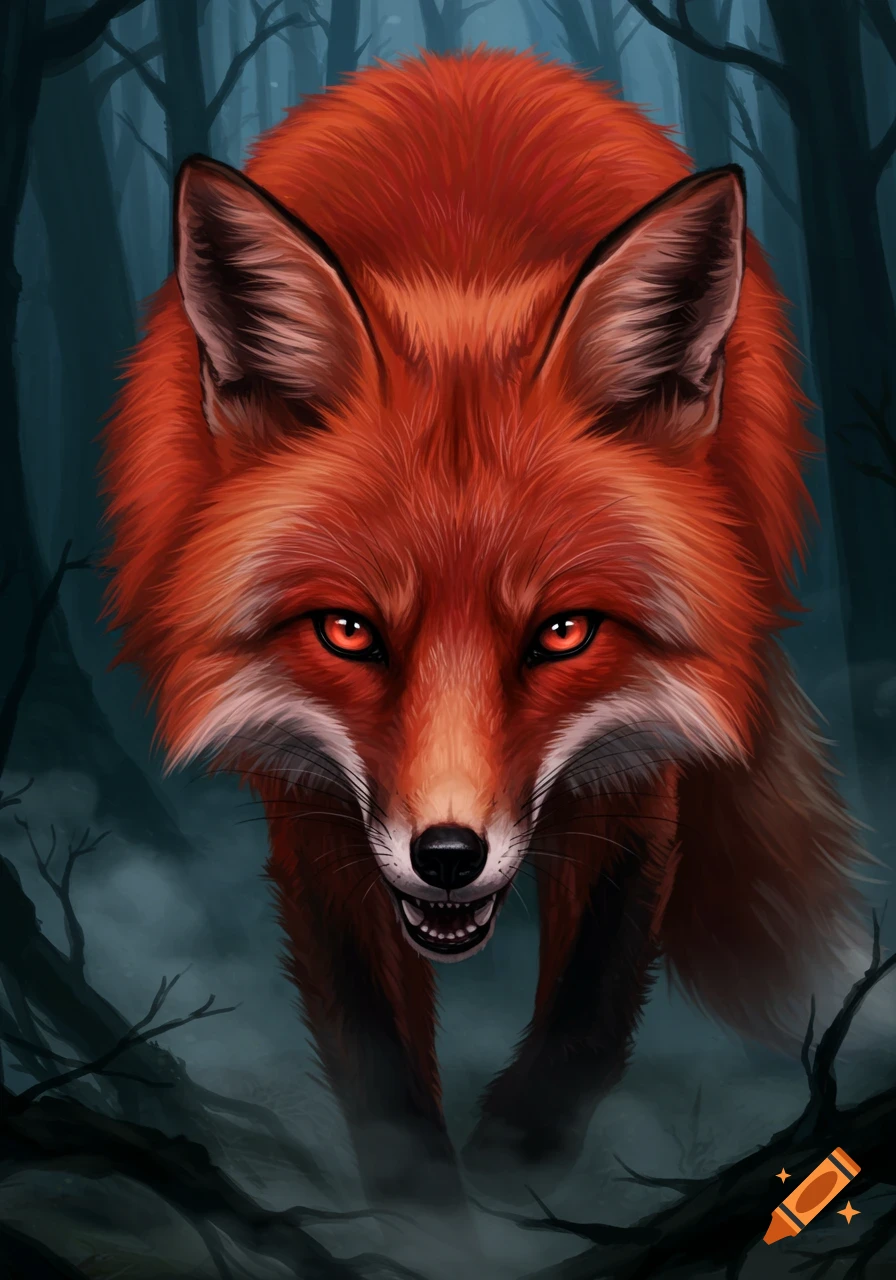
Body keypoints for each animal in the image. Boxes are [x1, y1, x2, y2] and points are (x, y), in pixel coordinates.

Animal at [103, 49, 867, 1208]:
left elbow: (583, 1025)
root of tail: (472, 63)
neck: (459, 263)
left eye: (562, 631)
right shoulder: (306, 791)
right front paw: (427, 1217)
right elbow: (379, 1073)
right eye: (347, 631)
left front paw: (518, 1192)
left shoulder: (642, 759)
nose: (450, 855)